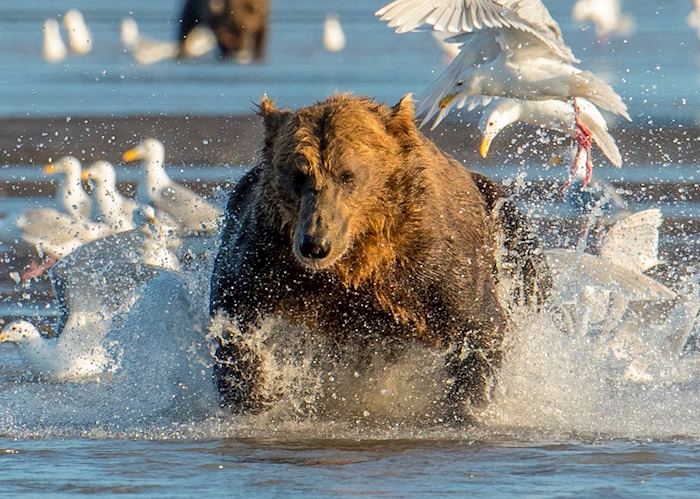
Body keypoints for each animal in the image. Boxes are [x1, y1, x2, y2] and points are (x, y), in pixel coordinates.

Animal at [209, 94, 551, 422]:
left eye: (347, 175)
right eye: (298, 174)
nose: (316, 244)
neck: (357, 257)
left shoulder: (433, 256)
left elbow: (479, 324)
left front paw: (466, 405)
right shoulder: (268, 251)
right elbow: (234, 311)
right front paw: (252, 392)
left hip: (509, 228)